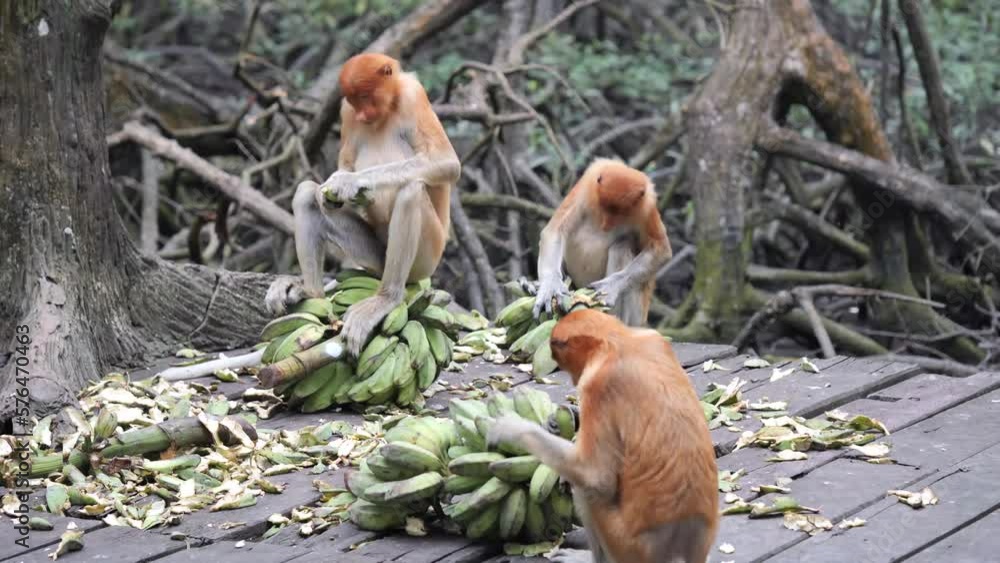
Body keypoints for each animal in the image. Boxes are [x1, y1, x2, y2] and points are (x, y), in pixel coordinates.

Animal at [265, 53, 461, 356]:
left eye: (367, 96)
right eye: (355, 101)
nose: (362, 116)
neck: (388, 109)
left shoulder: (414, 96)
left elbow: (446, 162)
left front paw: (350, 183)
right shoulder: (345, 112)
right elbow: (339, 168)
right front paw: (337, 189)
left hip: (428, 257)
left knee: (411, 191)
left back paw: (387, 299)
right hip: (376, 256)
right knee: (306, 194)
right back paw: (311, 292)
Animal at [487, 309, 719, 563]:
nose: (573, 380)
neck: (616, 341)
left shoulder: (596, 386)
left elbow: (595, 476)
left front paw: (511, 428)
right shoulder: (655, 338)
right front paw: (562, 419)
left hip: (626, 545)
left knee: (589, 492)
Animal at [532, 159, 672, 327]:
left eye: (620, 212)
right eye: (605, 207)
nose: (607, 225)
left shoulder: (647, 207)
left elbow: (661, 249)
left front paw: (610, 287)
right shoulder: (586, 186)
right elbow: (555, 231)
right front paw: (550, 288)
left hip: (636, 314)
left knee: (622, 246)